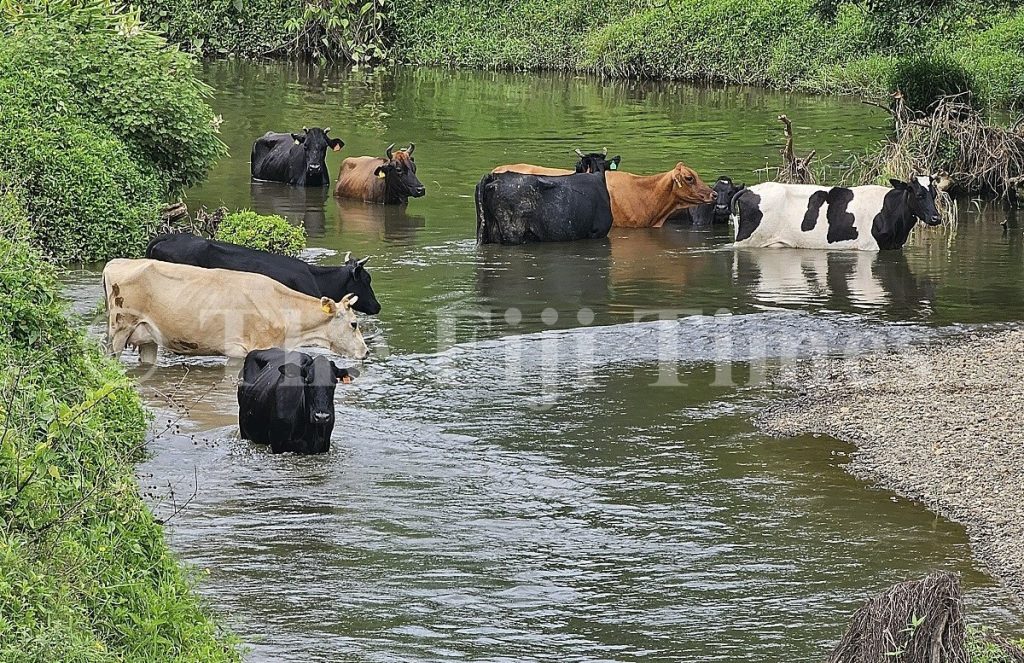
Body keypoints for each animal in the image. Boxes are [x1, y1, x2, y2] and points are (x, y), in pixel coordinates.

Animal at [103, 259, 369, 363]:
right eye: (354, 323)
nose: (366, 352)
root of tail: (117, 262)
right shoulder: (249, 350)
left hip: (148, 338)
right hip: (119, 330)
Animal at [731, 175, 943, 250]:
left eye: (934, 194)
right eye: (918, 194)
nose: (936, 217)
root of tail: (749, 190)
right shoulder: (868, 247)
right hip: (747, 241)